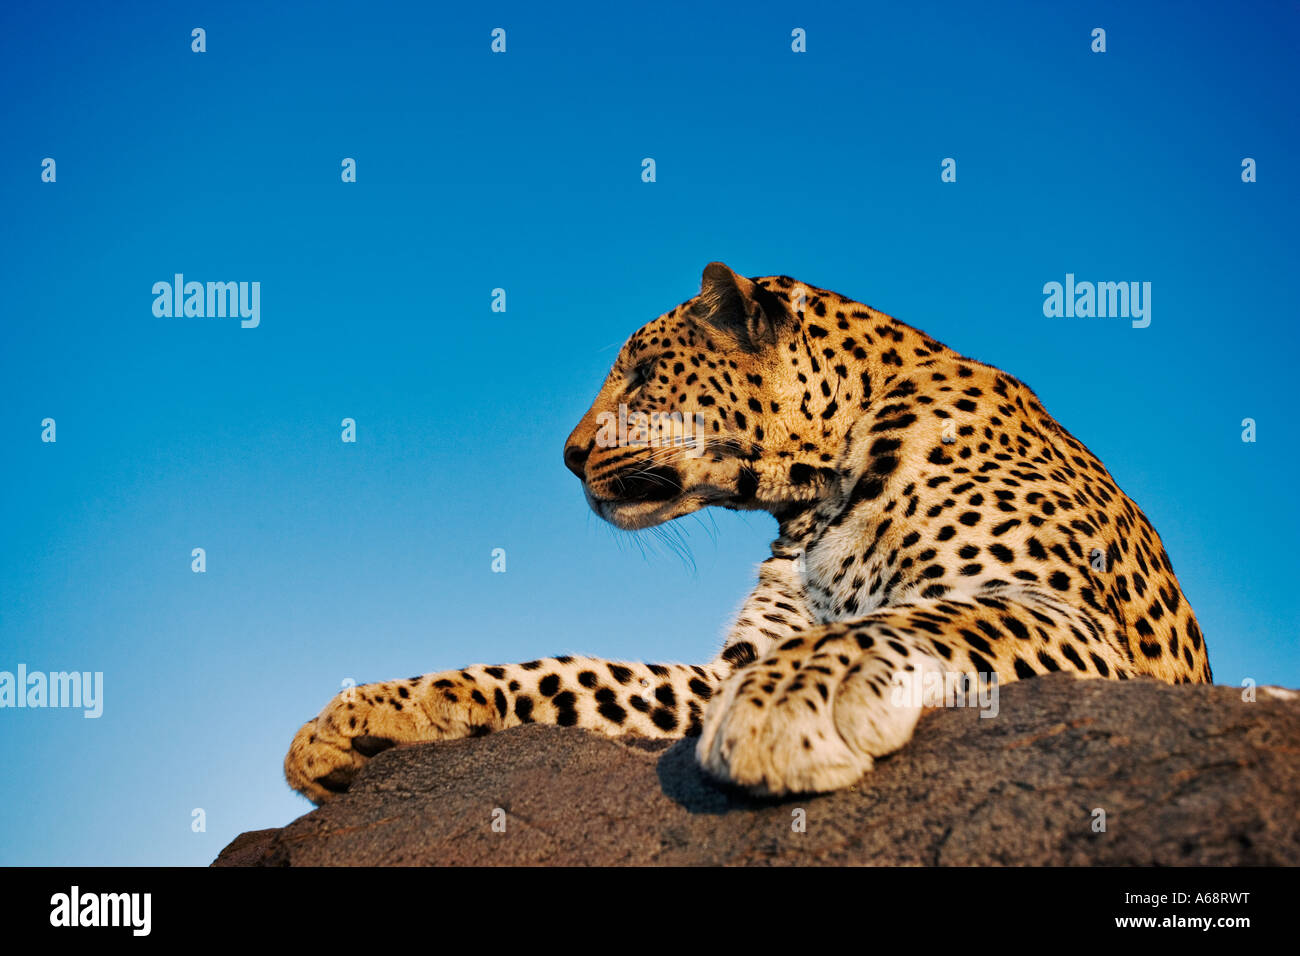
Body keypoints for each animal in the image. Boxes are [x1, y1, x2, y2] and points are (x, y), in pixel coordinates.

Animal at [285, 261, 1211, 803]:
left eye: (643, 375)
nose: (568, 454)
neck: (813, 494)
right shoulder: (721, 667)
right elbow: (576, 673)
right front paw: (359, 717)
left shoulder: (1067, 614)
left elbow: (915, 618)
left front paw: (785, 711)